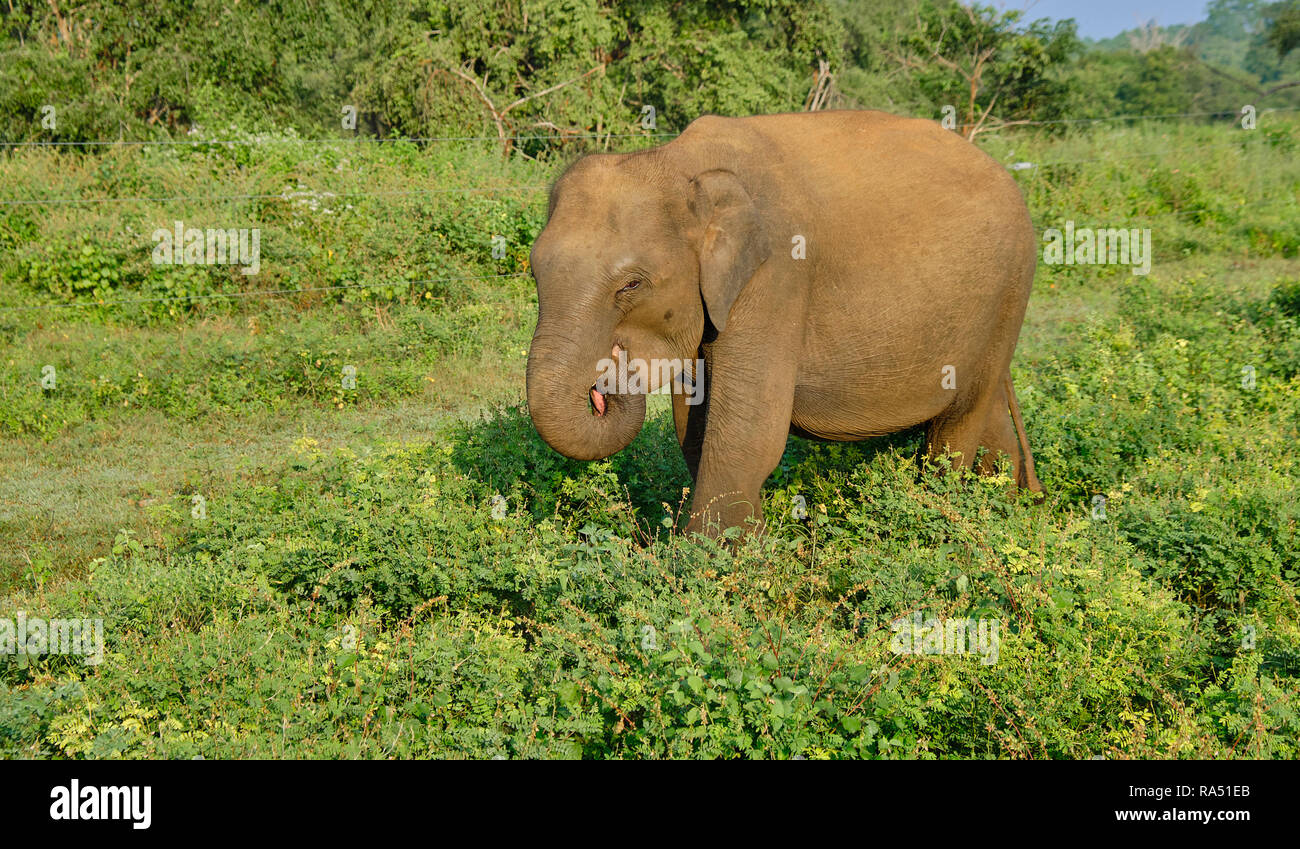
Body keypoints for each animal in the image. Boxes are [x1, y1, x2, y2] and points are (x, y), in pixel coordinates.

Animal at [525, 109, 1043, 535]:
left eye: (631, 285)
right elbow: (691, 420)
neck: (681, 162)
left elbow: (749, 429)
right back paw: (1005, 510)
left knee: (958, 422)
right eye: (533, 271)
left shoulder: (777, 275)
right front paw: (747, 542)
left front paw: (713, 564)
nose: (605, 378)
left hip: (1009, 291)